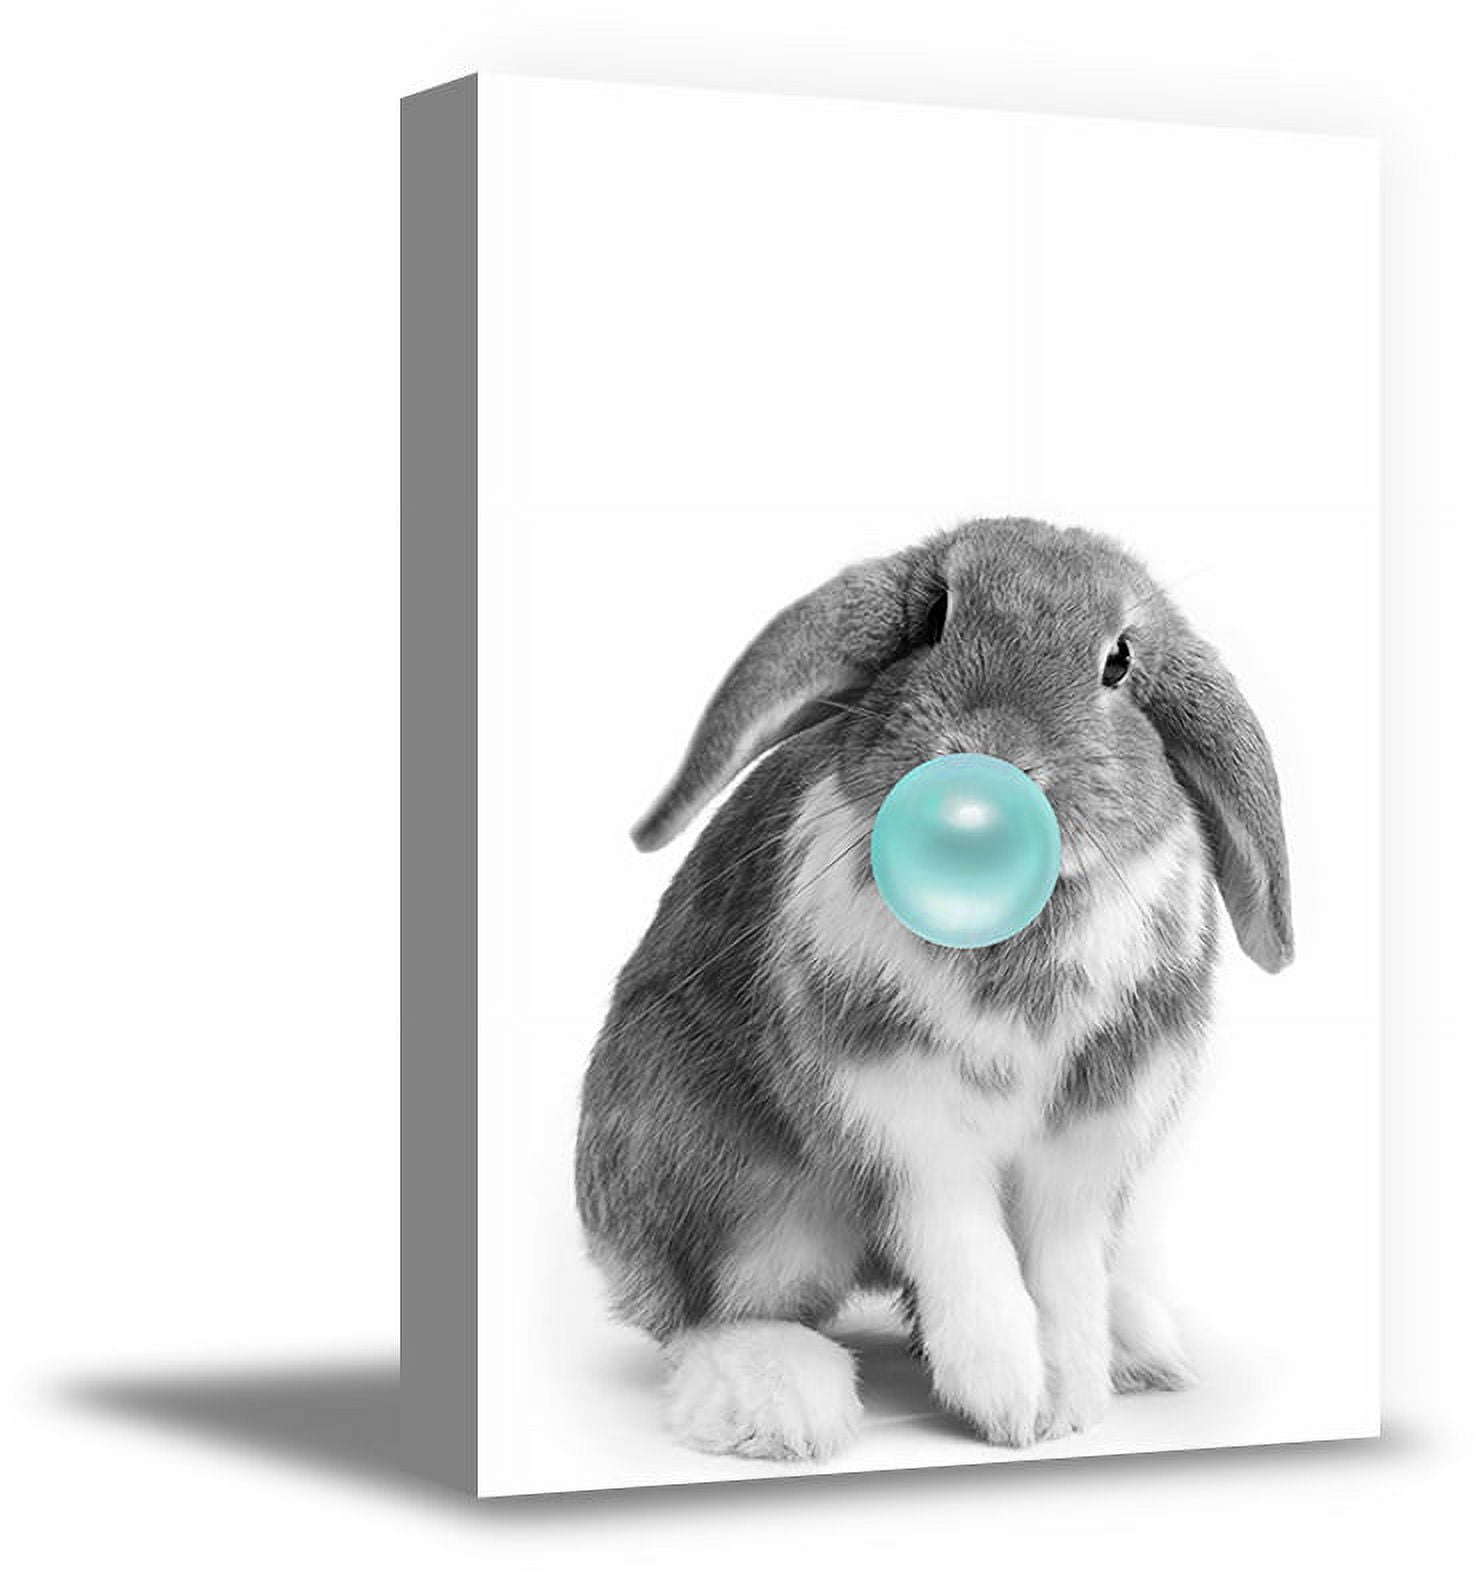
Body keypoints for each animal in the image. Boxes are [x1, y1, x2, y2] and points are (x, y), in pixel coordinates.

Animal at [575, 516, 1292, 1461]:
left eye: (1119, 662)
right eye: (934, 619)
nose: (994, 754)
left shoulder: (1090, 1141)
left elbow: (1061, 1271)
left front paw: (1070, 1398)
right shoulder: (906, 1123)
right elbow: (967, 1253)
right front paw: (1013, 1399)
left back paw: (1134, 1345)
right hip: (734, 1181)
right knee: (704, 1309)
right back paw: (775, 1397)